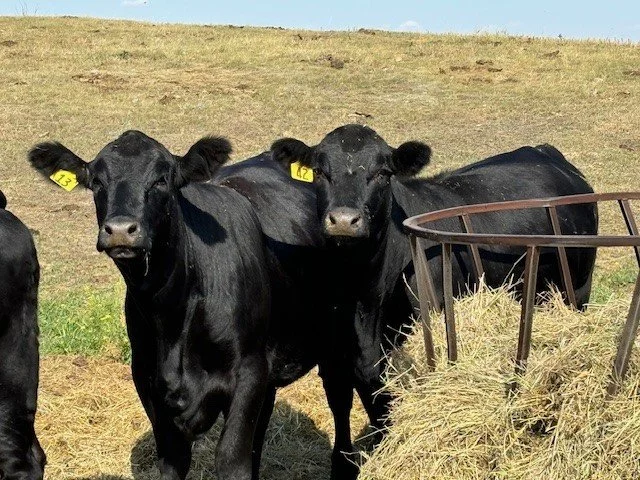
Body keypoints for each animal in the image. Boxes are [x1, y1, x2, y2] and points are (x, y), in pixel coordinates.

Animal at [28, 130, 339, 480]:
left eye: (161, 180)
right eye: (96, 182)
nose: (120, 230)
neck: (172, 312)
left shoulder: (248, 372)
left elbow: (233, 458)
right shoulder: (148, 380)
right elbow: (174, 459)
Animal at [270, 124, 598, 477]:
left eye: (383, 173)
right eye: (319, 171)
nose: (344, 220)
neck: (364, 300)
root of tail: (544, 152)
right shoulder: (337, 361)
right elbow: (346, 426)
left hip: (578, 293)